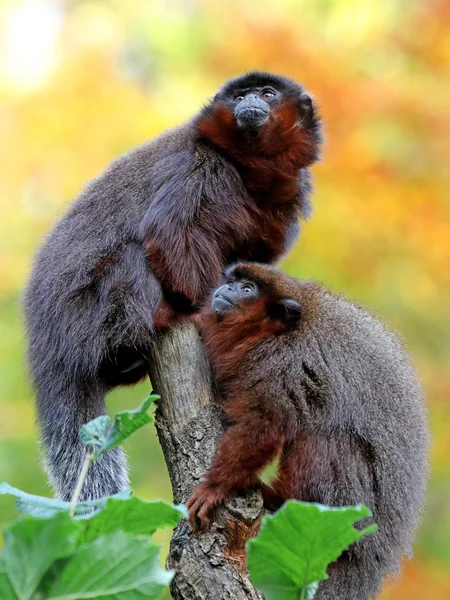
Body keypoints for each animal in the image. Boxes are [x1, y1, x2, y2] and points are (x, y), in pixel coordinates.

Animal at [24, 71, 322, 502]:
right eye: (240, 96)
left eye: (267, 94)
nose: (250, 101)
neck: (244, 167)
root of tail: (45, 345)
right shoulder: (197, 167)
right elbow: (171, 237)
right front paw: (201, 309)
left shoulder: (289, 192)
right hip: (84, 317)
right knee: (134, 258)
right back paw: (152, 326)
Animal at [186, 264, 428, 600]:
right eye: (232, 281)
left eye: (247, 289)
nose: (228, 289)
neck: (276, 334)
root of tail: (376, 558)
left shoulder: (283, 365)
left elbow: (262, 426)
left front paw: (214, 487)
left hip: (353, 510)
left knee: (324, 440)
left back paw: (280, 500)